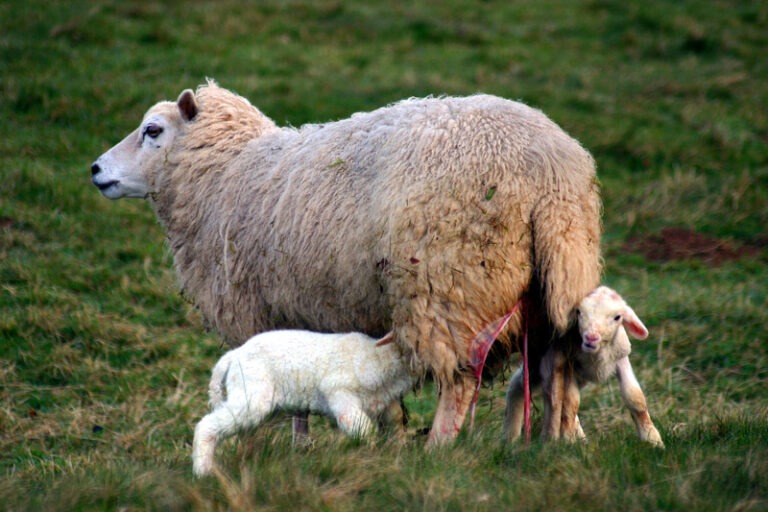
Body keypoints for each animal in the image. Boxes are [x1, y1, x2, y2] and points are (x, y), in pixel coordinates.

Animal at [91, 81, 602, 445]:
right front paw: (314, 443)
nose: (96, 169)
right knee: (557, 365)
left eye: (152, 131)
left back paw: (438, 448)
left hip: (448, 287)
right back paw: (563, 440)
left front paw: (262, 447)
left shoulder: (254, 312)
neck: (226, 171)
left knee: (459, 379)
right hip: (558, 281)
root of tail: (551, 173)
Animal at [192, 330, 412, 477]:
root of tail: (233, 355)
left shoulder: (385, 400)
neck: (378, 357)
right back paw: (203, 471)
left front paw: (397, 451)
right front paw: (372, 457)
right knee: (207, 425)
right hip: (251, 392)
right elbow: (361, 427)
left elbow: (395, 418)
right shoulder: (339, 392)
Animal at [504, 286, 664, 447]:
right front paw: (568, 440)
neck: (597, 354)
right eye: (579, 312)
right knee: (522, 386)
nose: (591, 338)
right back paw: (511, 437)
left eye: (617, 317)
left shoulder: (621, 359)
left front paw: (653, 440)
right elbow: (571, 402)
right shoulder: (569, 366)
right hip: (540, 364)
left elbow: (635, 397)